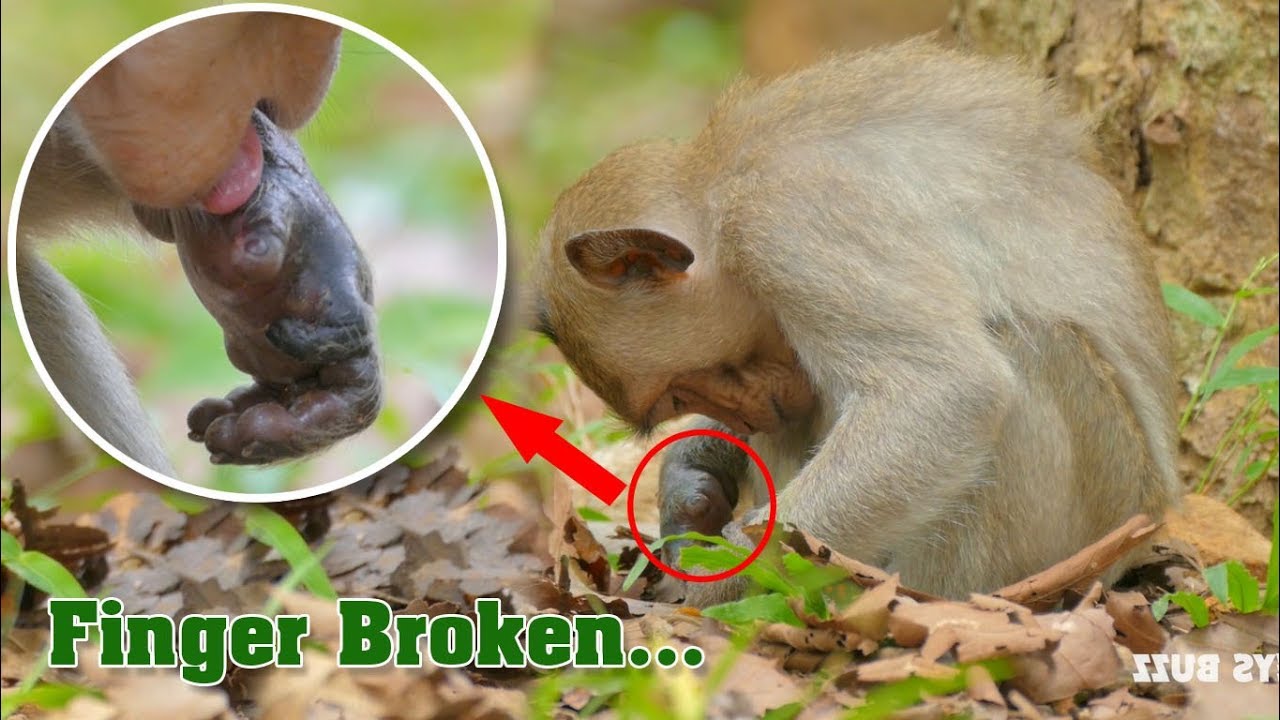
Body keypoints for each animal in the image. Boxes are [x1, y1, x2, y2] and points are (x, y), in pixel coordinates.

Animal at [532, 39, 1179, 605]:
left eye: (681, 388)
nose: (742, 417)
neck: (719, 183)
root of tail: (1149, 524)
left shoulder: (788, 222)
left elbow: (946, 391)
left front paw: (719, 584)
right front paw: (690, 482)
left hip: (1099, 504)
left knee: (1027, 347)